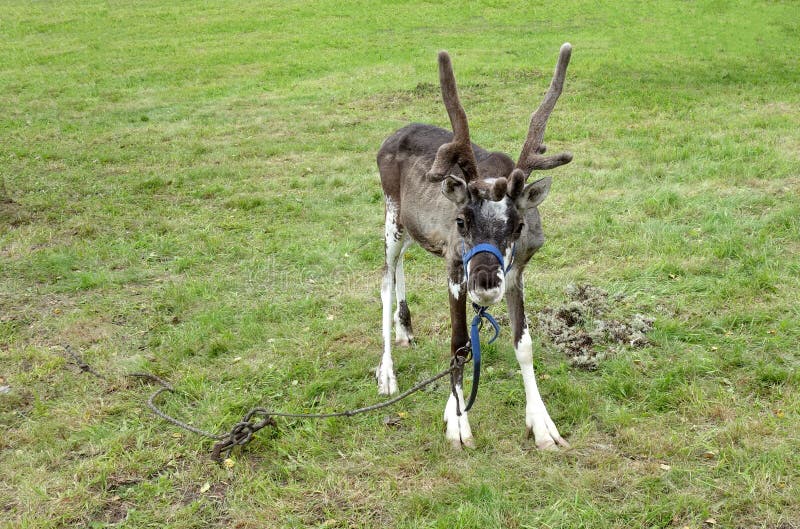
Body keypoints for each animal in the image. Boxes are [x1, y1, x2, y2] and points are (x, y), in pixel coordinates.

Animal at [375, 43, 574, 450]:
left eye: (518, 226)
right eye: (461, 221)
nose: (484, 283)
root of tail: (390, 135)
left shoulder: (516, 271)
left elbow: (523, 344)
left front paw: (543, 427)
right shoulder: (454, 266)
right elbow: (458, 344)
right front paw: (458, 422)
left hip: (411, 228)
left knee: (401, 265)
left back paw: (406, 330)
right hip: (391, 216)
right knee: (386, 277)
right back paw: (387, 373)